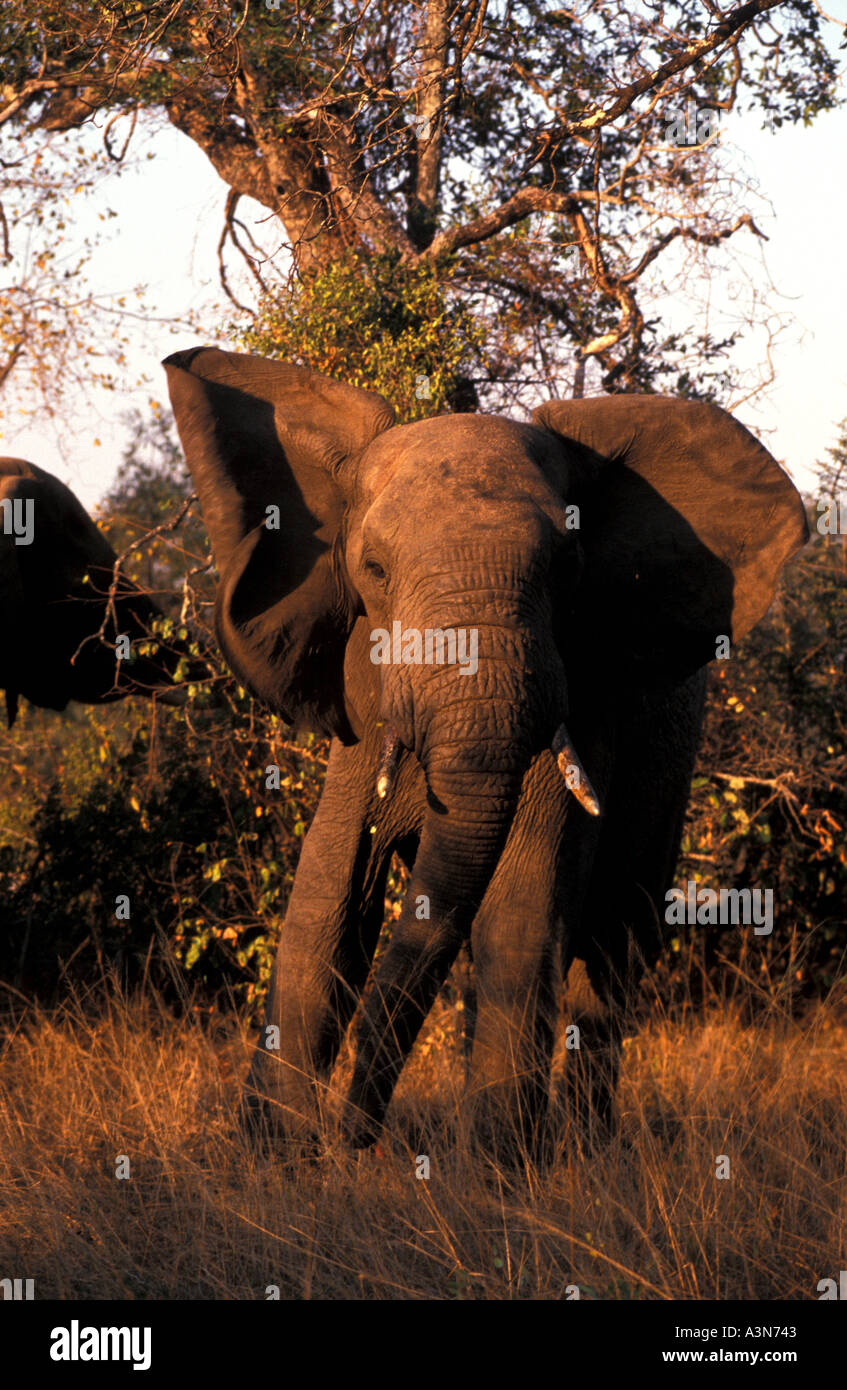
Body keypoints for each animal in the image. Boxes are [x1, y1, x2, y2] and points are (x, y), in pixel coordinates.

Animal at [164, 346, 808, 1159]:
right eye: (372, 570)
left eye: (566, 569)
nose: (356, 1137)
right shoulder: (361, 707)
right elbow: (326, 901)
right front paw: (270, 1158)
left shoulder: (579, 711)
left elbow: (521, 906)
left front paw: (495, 1173)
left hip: (669, 779)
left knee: (612, 954)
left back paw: (588, 1156)